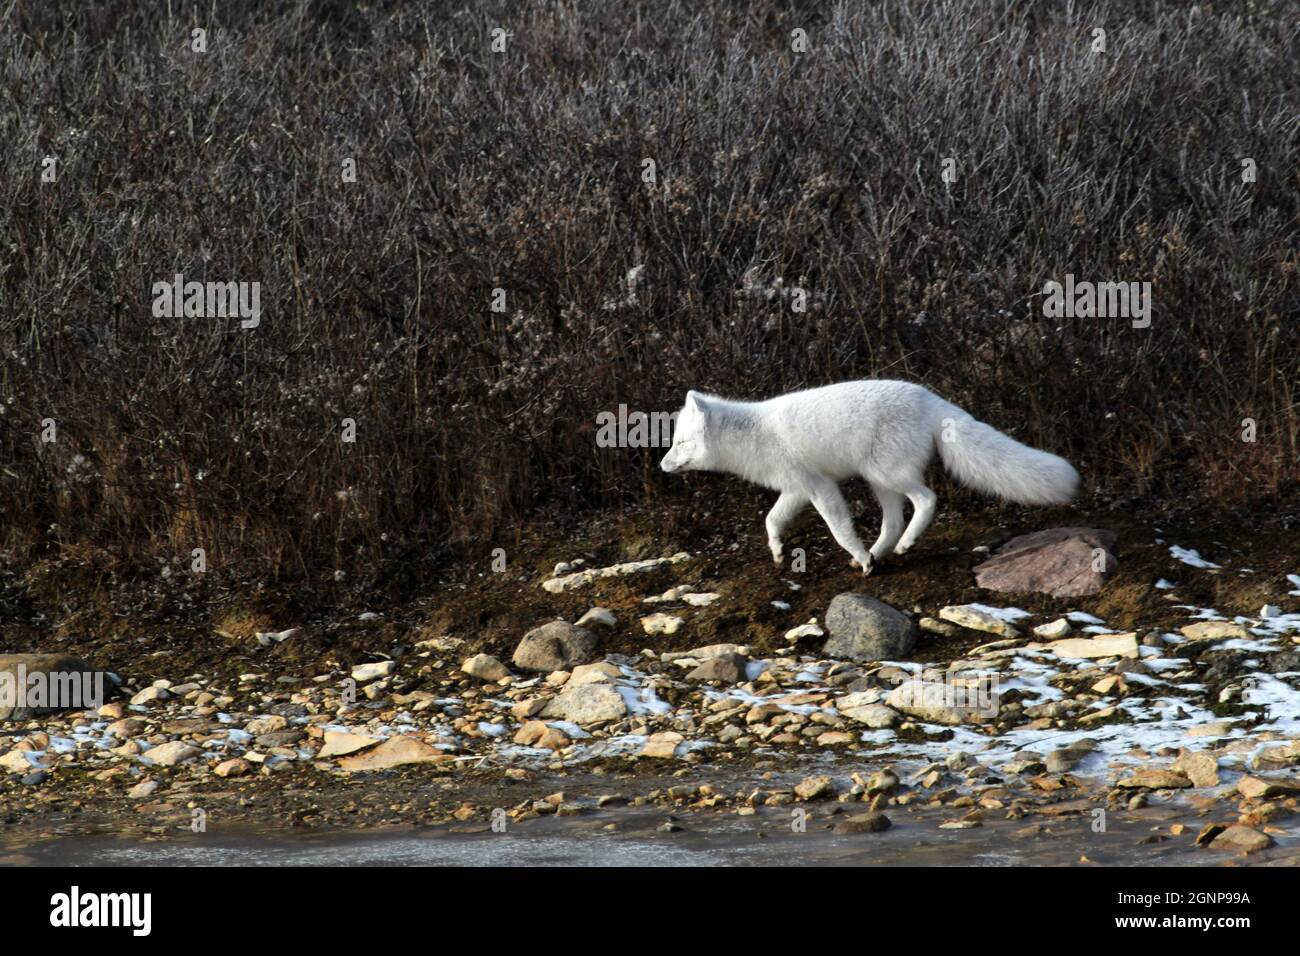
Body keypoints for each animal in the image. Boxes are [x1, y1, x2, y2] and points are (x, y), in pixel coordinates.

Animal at [659, 379, 1079, 574]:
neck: (755, 435)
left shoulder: (819, 486)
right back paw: (881, 553)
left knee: (927, 500)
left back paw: (897, 547)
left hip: (886, 474)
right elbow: (771, 520)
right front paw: (778, 550)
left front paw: (857, 554)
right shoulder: (796, 489)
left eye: (680, 443)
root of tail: (932, 400)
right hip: (878, 481)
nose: (662, 465)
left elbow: (838, 529)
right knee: (893, 520)